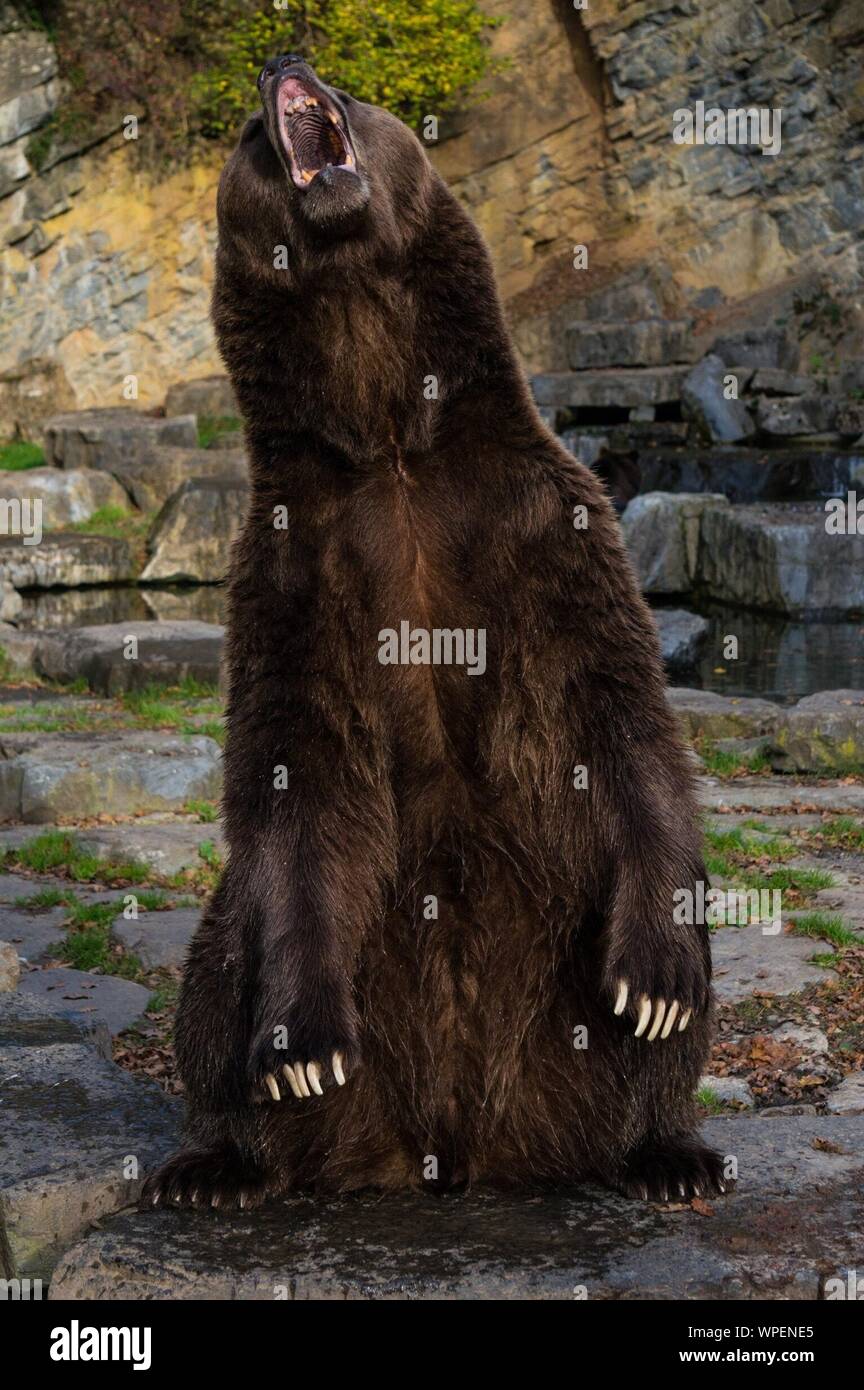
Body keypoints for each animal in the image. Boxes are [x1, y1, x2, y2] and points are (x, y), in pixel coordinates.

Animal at [142, 55, 724, 1211]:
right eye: (249, 135)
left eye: (348, 89)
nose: (285, 61)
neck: (392, 443)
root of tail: (456, 1145)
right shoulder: (298, 568)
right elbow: (295, 777)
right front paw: (304, 1046)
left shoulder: (541, 523)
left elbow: (623, 719)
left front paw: (657, 986)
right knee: (219, 959)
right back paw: (216, 1161)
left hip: (566, 990)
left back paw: (671, 1148)